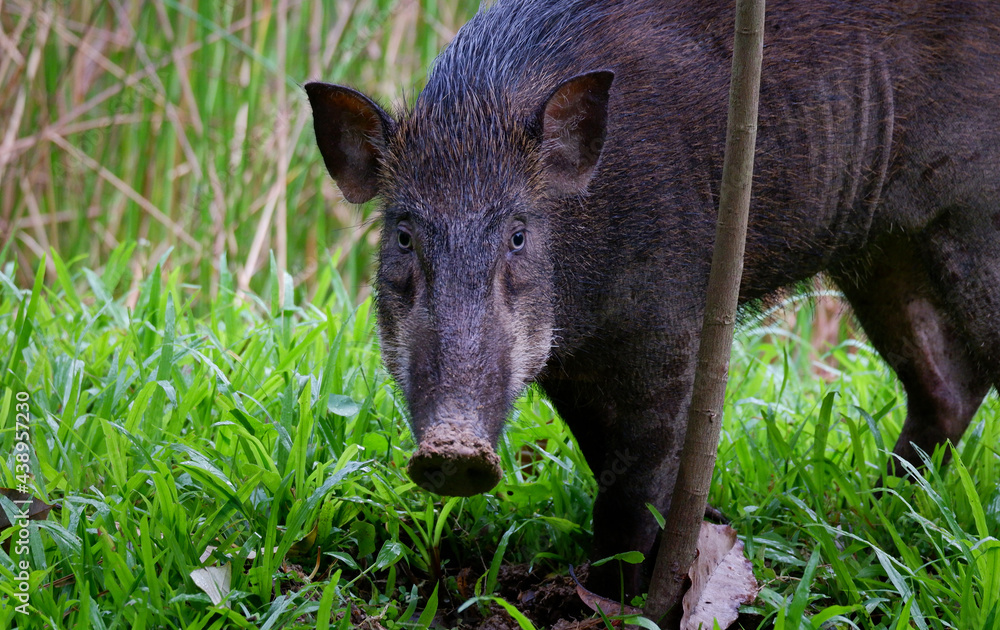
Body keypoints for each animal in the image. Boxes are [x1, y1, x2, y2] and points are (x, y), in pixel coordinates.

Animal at [306, 0, 1000, 595]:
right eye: (402, 234)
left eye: (519, 234)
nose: (452, 450)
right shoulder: (573, 364)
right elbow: (606, 460)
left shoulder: (669, 323)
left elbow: (637, 480)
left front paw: (622, 594)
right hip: (886, 250)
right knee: (946, 385)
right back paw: (871, 517)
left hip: (968, 221)